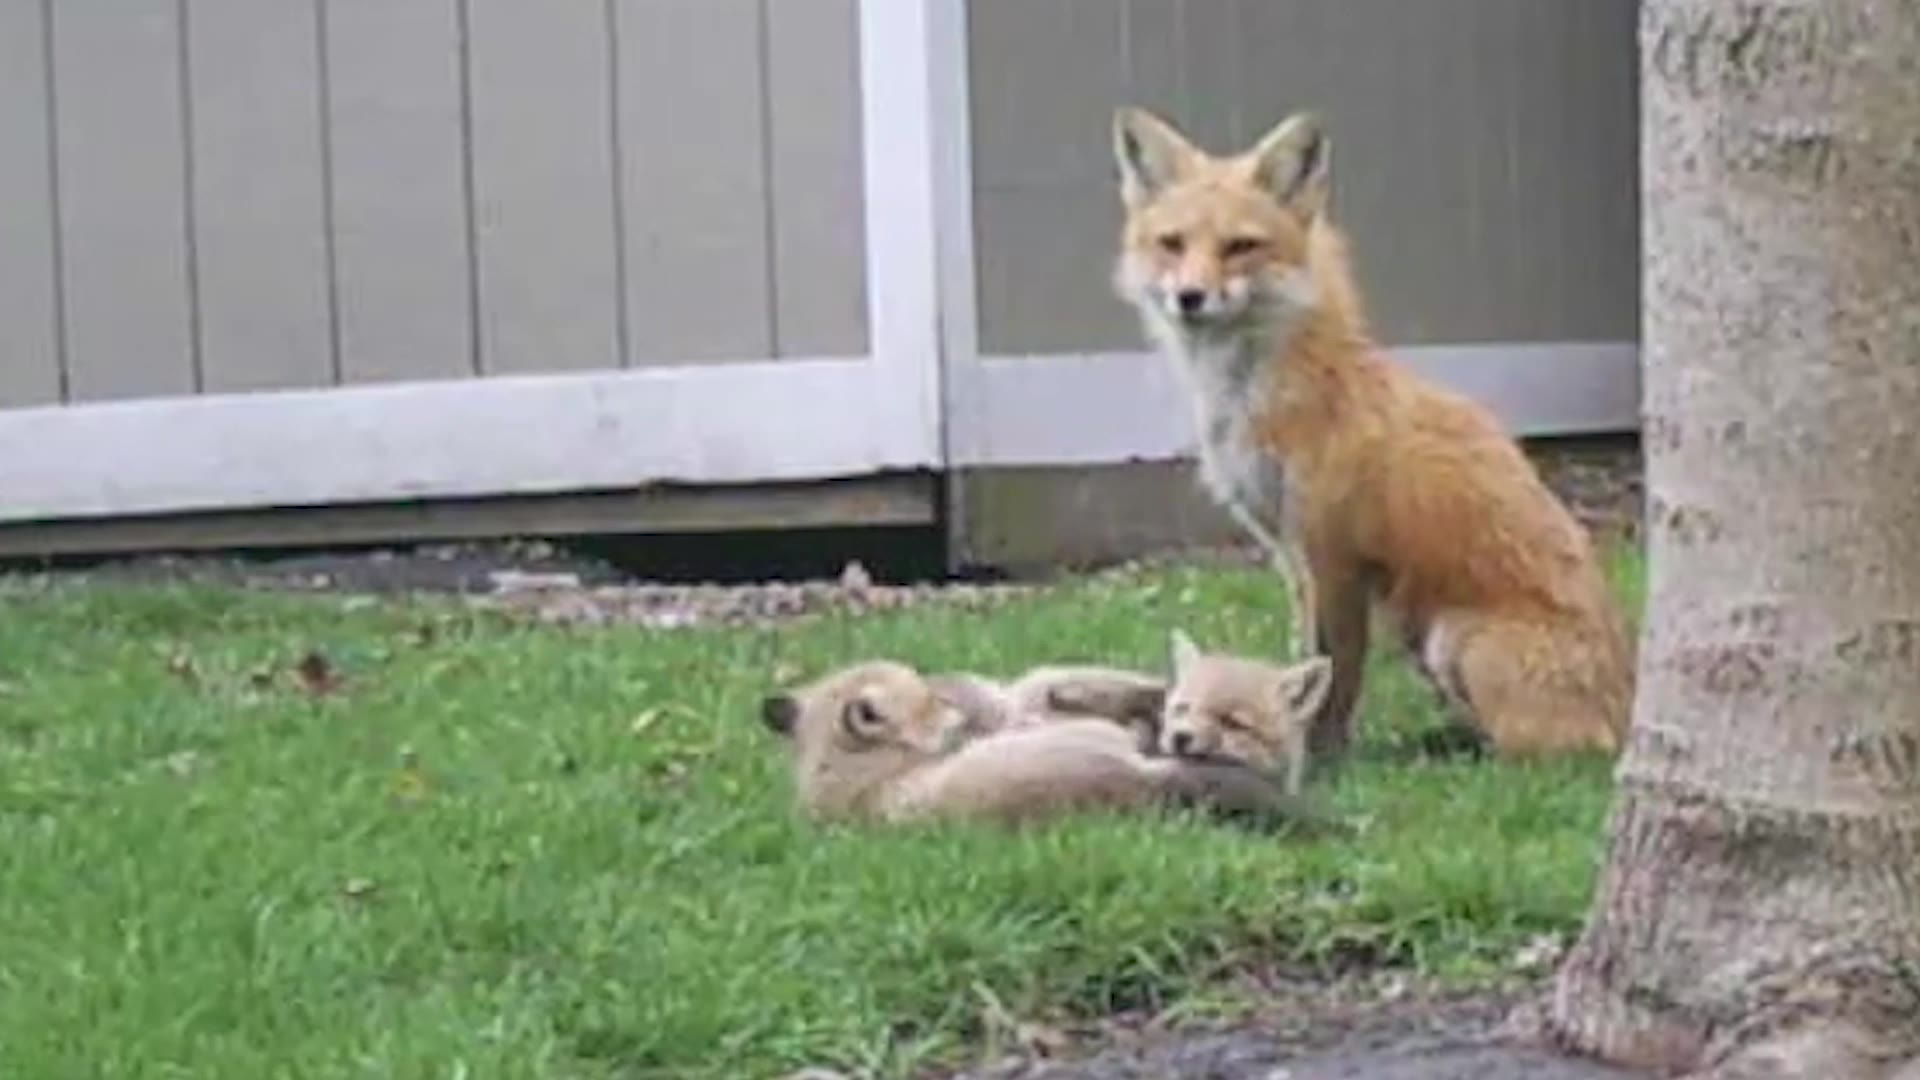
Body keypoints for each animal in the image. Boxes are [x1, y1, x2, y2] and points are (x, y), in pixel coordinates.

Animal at [1107, 105, 1635, 767]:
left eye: (1241, 247)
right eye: (1173, 243)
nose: (1189, 297)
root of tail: (1631, 713)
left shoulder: (1333, 556)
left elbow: (1331, 674)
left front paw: (1316, 761)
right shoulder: (1291, 555)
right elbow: (1304, 660)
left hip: (1452, 640)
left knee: (1534, 756)